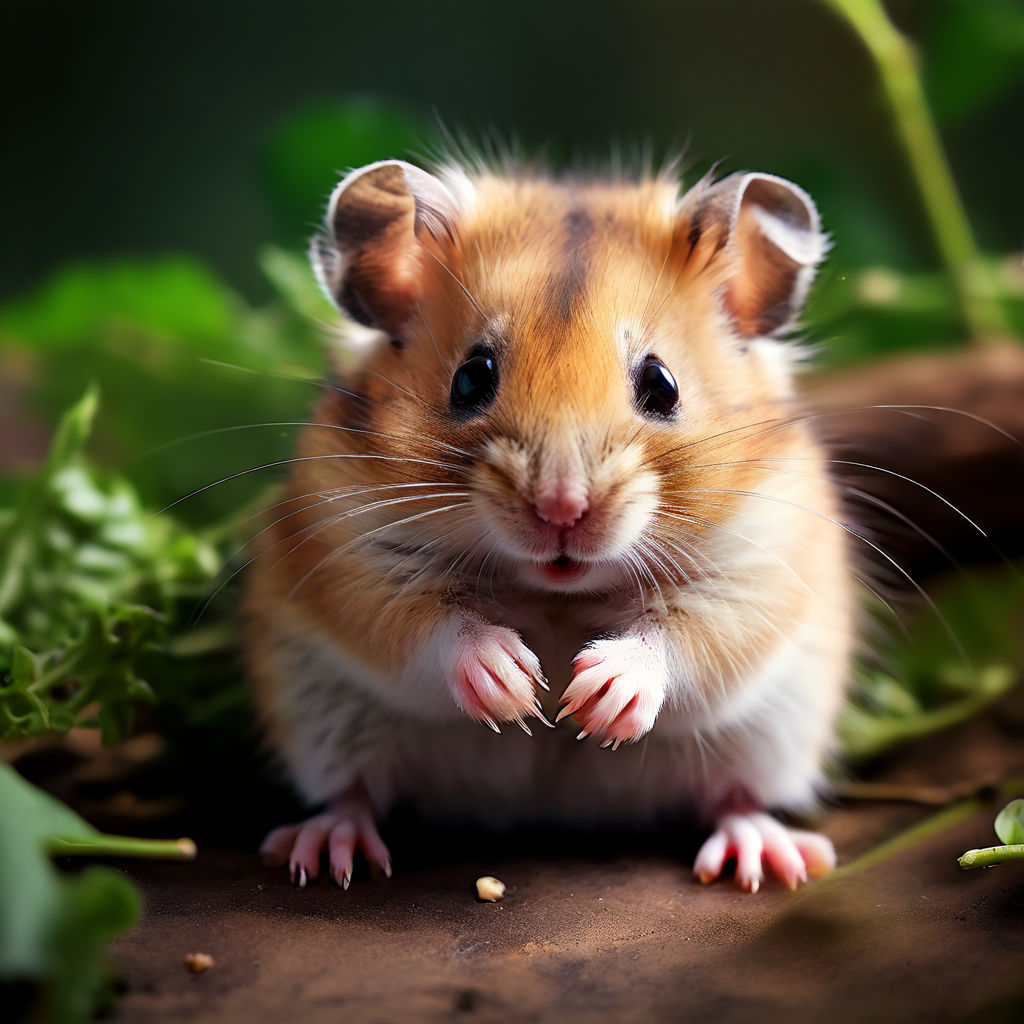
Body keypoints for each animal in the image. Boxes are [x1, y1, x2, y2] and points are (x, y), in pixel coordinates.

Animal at [245, 159, 851, 892]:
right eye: (471, 377)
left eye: (662, 384)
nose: (562, 510)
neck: (556, 591)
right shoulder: (352, 552)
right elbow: (432, 623)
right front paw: (517, 691)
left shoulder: (756, 569)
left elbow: (679, 637)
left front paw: (591, 702)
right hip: (326, 719)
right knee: (354, 791)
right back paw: (328, 852)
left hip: (767, 736)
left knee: (734, 797)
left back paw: (768, 858)